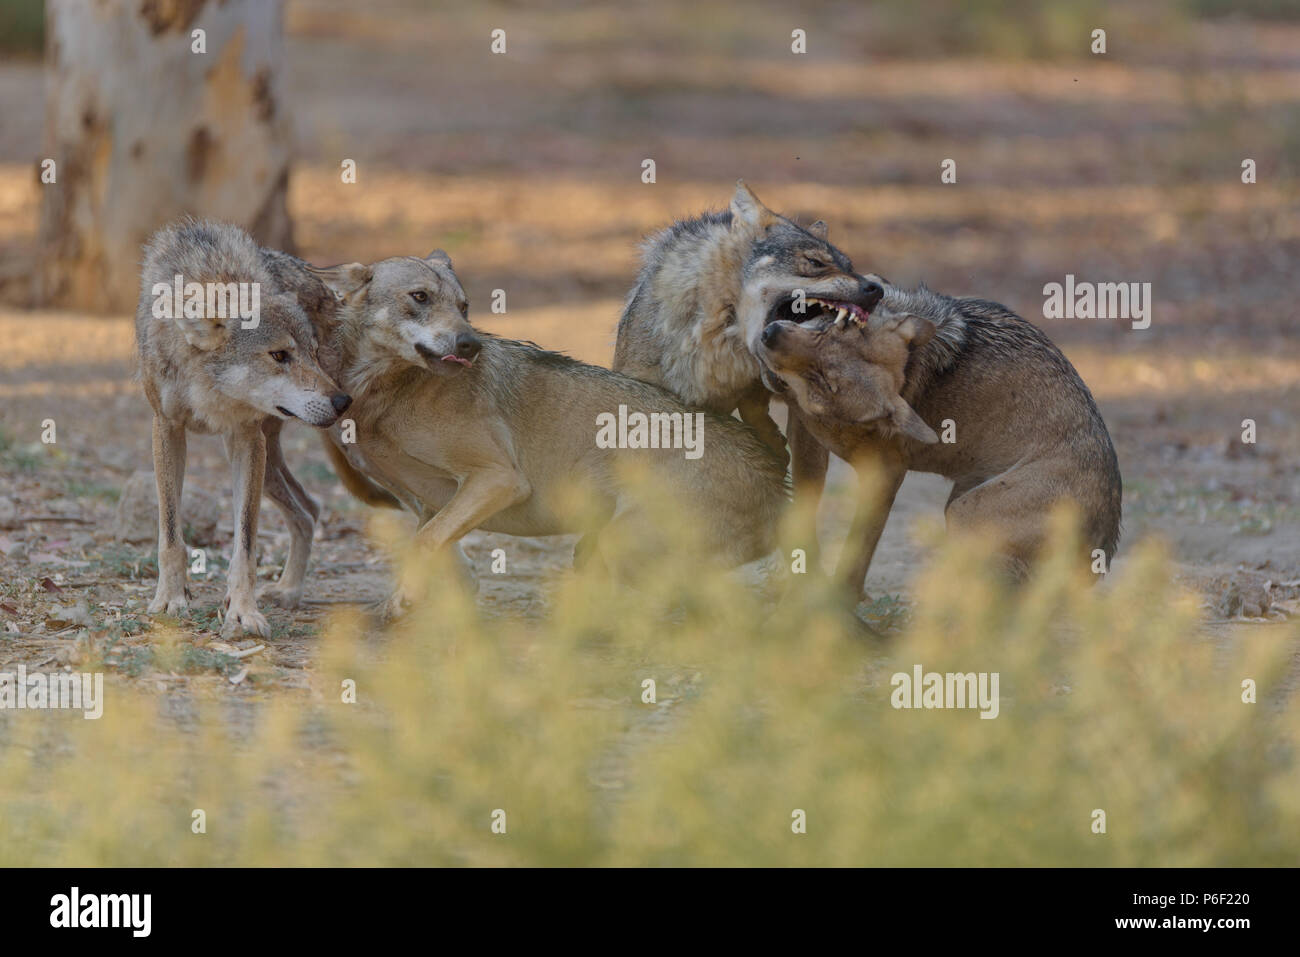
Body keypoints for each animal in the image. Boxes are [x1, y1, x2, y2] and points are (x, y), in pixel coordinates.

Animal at [135, 220, 353, 637]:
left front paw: (243, 612)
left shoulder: (246, 437)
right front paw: (170, 600)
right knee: (310, 509)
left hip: (277, 458)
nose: (341, 402)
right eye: (279, 355)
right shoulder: (166, 428)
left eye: (313, 353)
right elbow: (170, 535)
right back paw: (288, 589)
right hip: (269, 466)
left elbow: (246, 545)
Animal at [307, 251, 790, 618]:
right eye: (420, 297)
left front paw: (404, 601)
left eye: (464, 306)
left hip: (620, 543)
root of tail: (775, 478)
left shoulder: (499, 479)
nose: (469, 344)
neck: (388, 392)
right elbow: (441, 553)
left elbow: (425, 543)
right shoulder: (425, 501)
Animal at [755, 286, 1122, 597]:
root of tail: (1101, 553)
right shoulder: (805, 438)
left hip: (963, 512)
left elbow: (858, 552)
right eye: (833, 327)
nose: (769, 335)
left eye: (826, 382)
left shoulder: (887, 473)